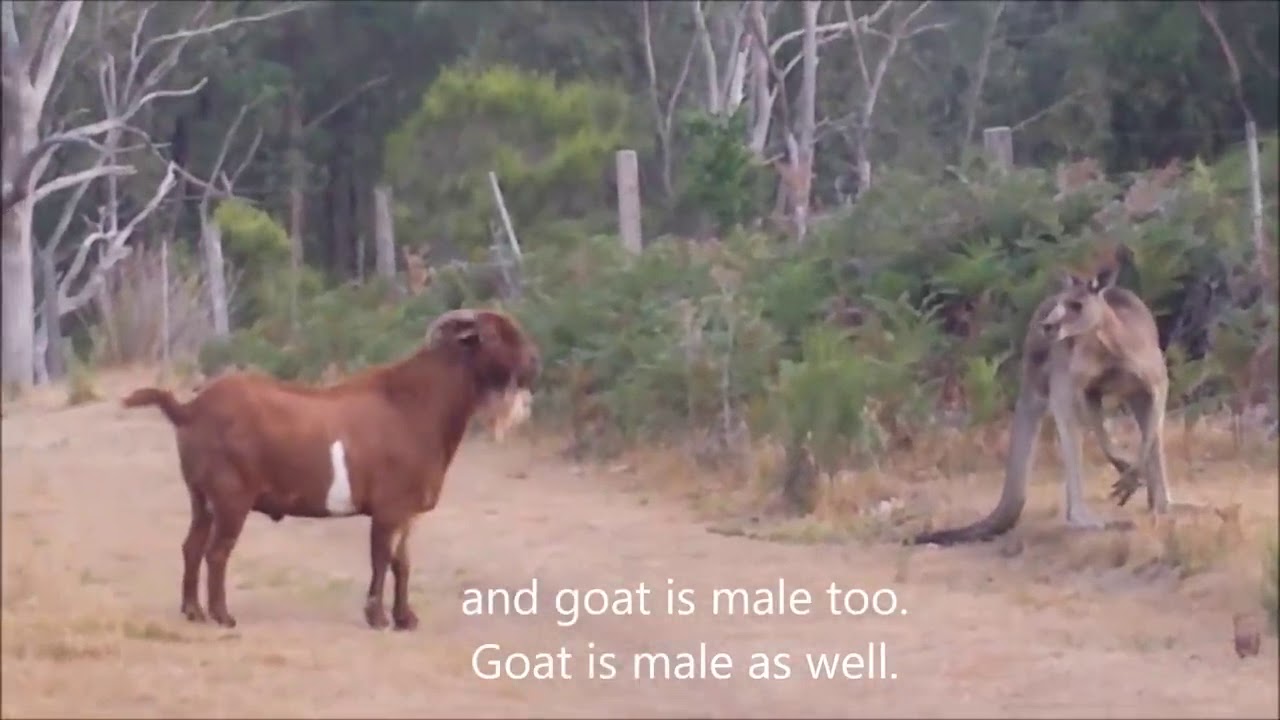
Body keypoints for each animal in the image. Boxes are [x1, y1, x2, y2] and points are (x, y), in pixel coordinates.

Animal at [122, 308, 540, 630]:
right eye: (494, 335)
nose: (533, 362)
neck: (414, 404)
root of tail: (190, 409)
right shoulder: (388, 509)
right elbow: (380, 560)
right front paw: (378, 617)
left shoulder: (407, 512)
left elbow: (402, 563)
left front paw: (406, 618)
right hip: (230, 496)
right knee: (216, 552)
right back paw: (223, 616)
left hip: (200, 496)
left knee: (191, 545)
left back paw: (193, 610)